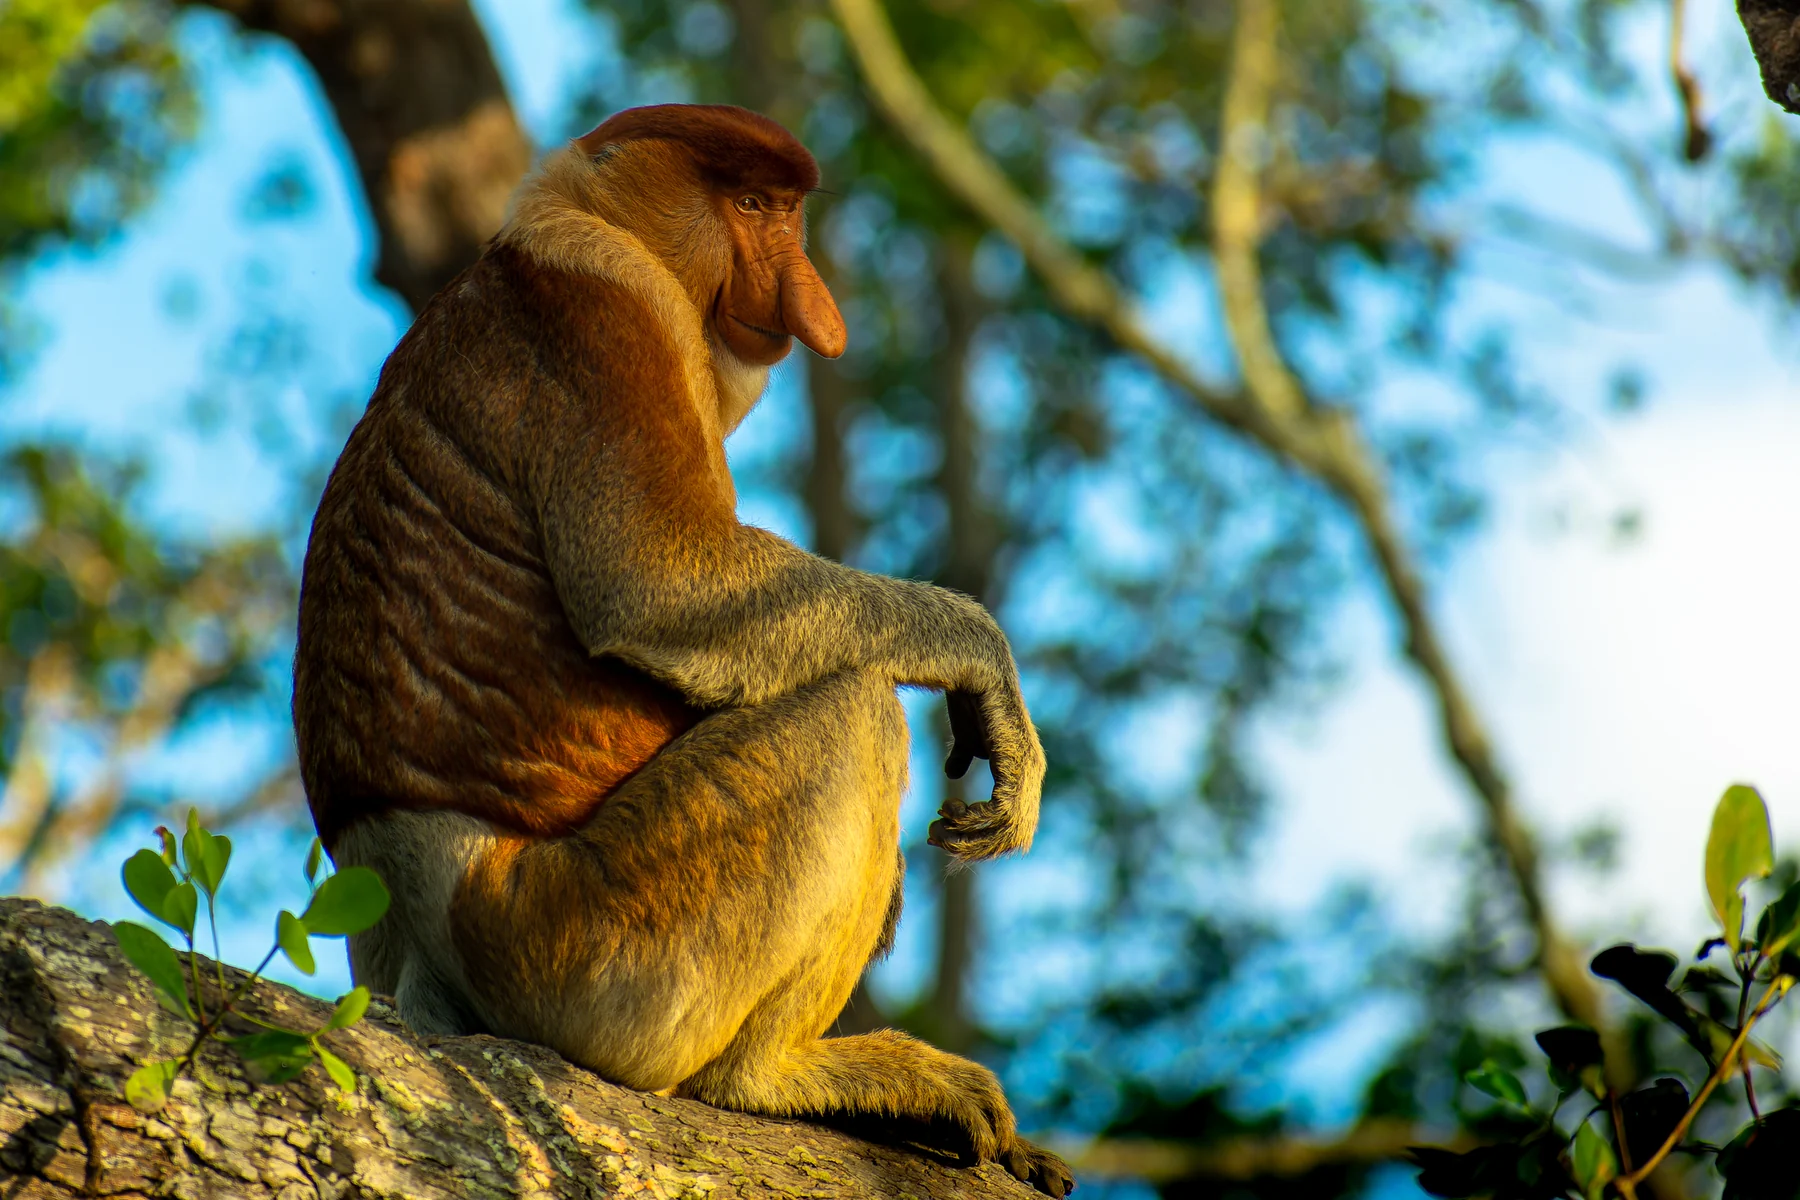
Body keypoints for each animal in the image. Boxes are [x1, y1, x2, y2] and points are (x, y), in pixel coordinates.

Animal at [292, 104, 1073, 1196]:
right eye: (750, 204)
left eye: (788, 210)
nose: (810, 304)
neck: (573, 210)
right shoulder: (604, 304)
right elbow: (659, 583)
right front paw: (986, 674)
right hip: (589, 942)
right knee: (850, 711)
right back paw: (779, 1078)